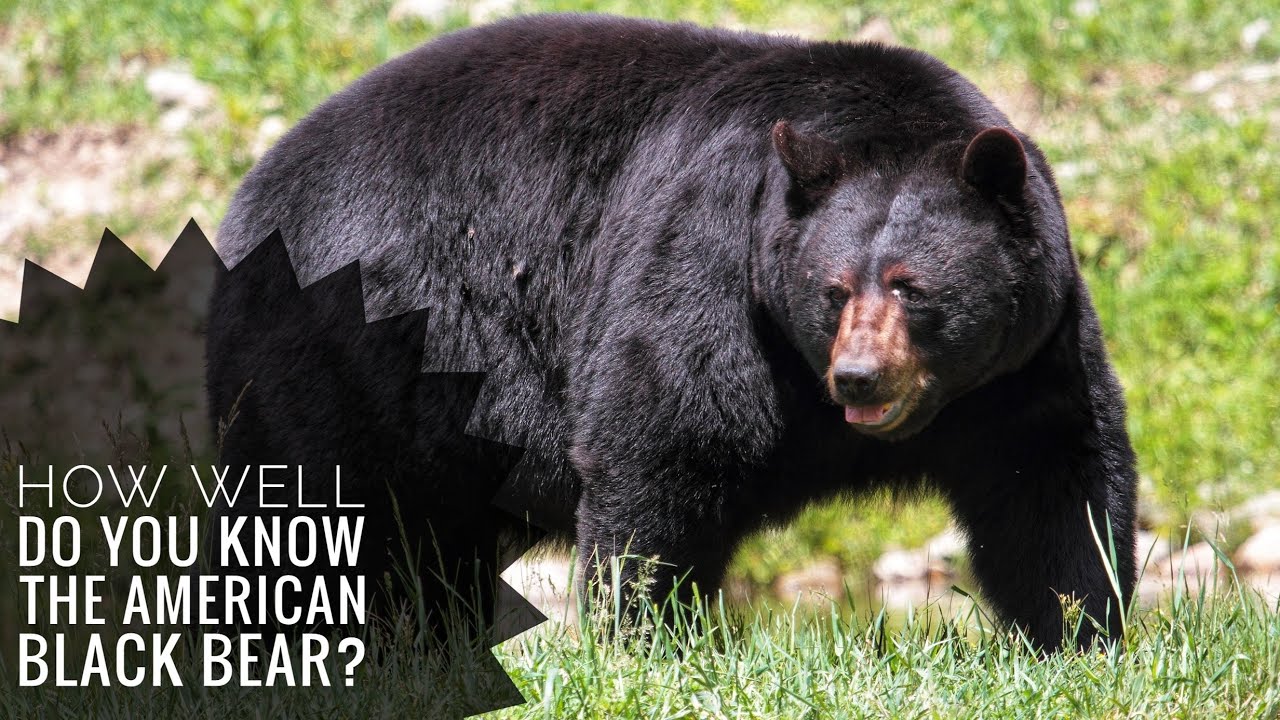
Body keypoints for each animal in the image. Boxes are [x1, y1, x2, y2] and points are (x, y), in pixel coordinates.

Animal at [207, 13, 1138, 652]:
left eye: (912, 288)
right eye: (833, 290)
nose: (859, 377)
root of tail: (250, 191)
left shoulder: (1028, 354)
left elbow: (1053, 477)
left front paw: (1079, 632)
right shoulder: (710, 257)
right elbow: (665, 437)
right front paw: (644, 636)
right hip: (356, 345)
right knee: (316, 513)